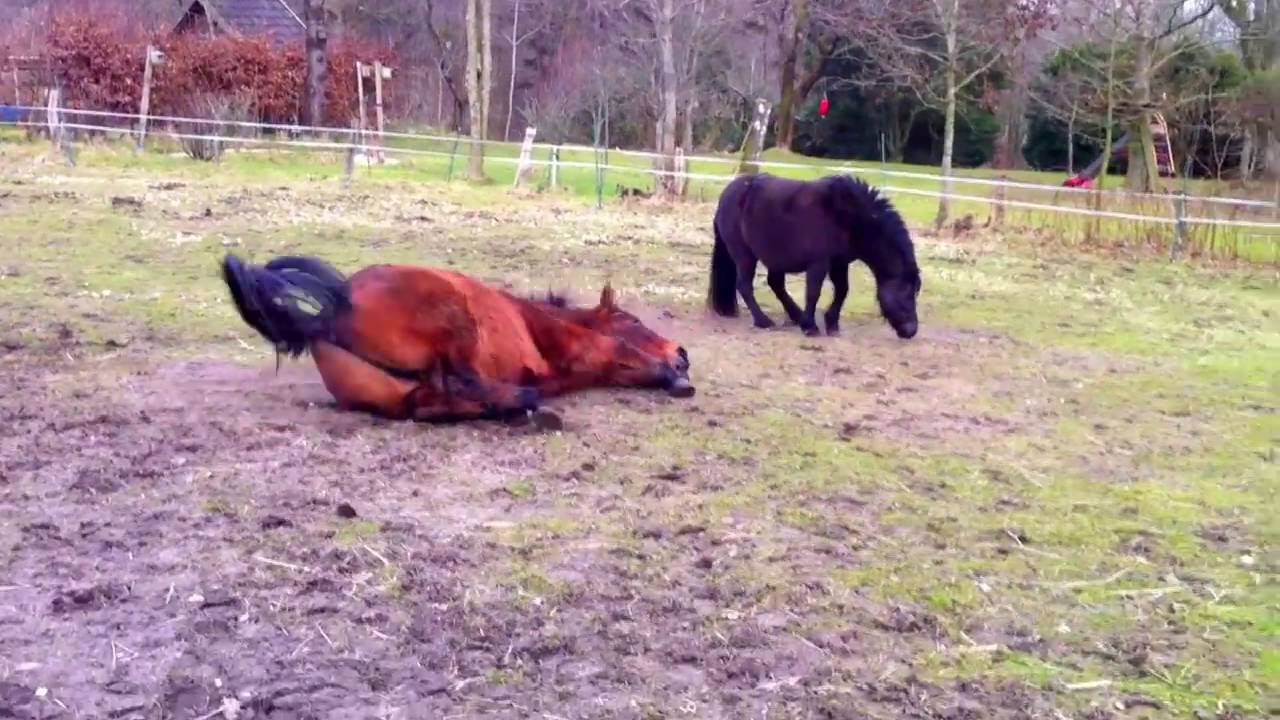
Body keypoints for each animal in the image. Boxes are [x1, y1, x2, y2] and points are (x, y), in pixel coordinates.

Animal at [220, 254, 694, 423]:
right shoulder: (581, 351)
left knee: (430, 404)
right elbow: (623, 351)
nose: (682, 353)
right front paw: (673, 377)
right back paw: (525, 403)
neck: (533, 319)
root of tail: (332, 317)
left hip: (409, 392)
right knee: (464, 383)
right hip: (456, 325)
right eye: (632, 319)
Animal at [707, 172, 922, 339]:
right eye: (907, 292)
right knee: (745, 286)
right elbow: (813, 292)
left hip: (775, 258)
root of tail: (725, 196)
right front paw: (811, 327)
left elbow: (842, 290)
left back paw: (795, 316)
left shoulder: (839, 263)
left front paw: (831, 324)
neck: (845, 215)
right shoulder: (819, 263)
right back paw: (764, 321)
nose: (911, 331)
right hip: (744, 255)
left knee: (776, 284)